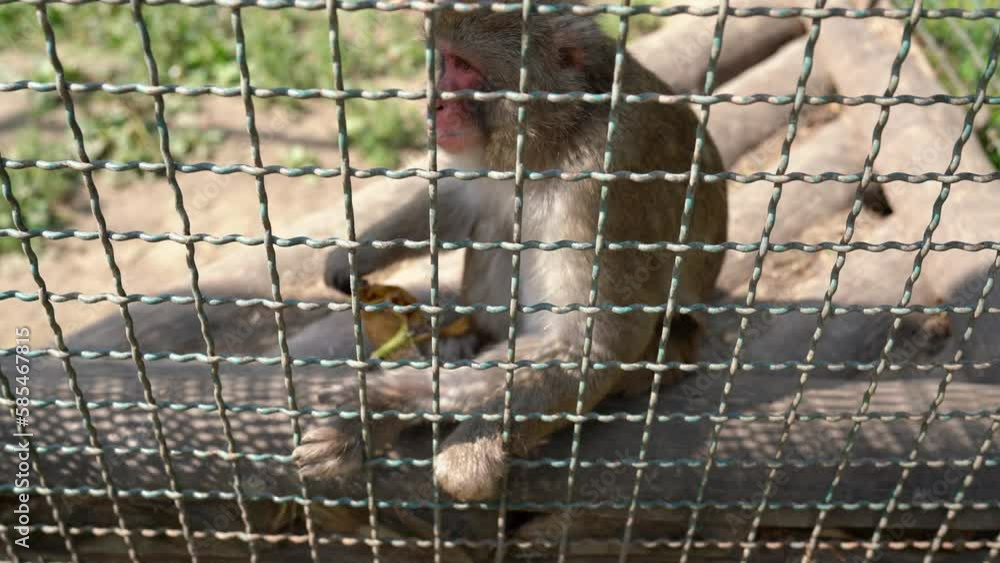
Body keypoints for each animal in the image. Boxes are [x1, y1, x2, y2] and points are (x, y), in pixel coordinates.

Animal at [293, 1, 728, 501]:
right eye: (445, 60)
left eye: (465, 67)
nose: (435, 102)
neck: (557, 134)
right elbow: (458, 204)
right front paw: (353, 257)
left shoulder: (606, 183)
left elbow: (595, 344)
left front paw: (457, 447)